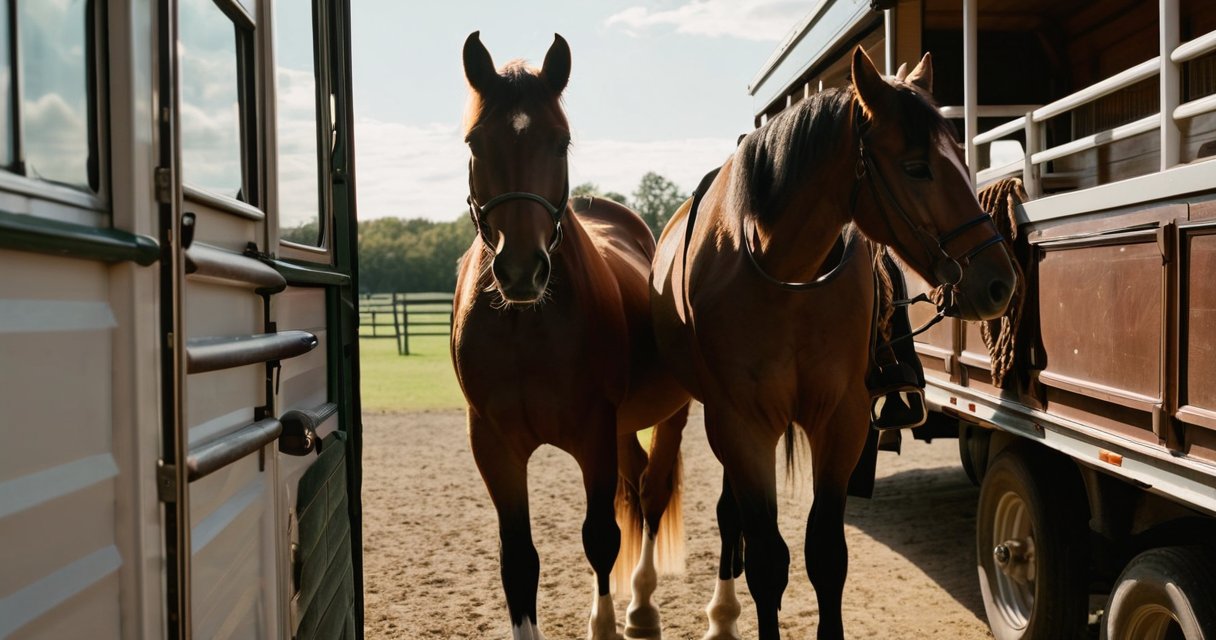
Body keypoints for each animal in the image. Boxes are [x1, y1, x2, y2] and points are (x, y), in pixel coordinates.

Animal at [450, 32, 693, 640]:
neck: (524, 325)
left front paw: (604, 621)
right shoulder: (494, 445)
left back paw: (641, 608)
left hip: (668, 416)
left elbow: (601, 539)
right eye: (475, 142)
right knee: (637, 484)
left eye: (560, 142)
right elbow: (519, 561)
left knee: (651, 494)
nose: (520, 270)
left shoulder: (593, 434)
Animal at [649, 48, 1017, 640]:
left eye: (962, 158)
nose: (999, 281)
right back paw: (720, 616)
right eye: (916, 167)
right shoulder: (743, 425)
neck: (787, 277)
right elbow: (768, 561)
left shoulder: (841, 420)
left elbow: (825, 556)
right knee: (730, 518)